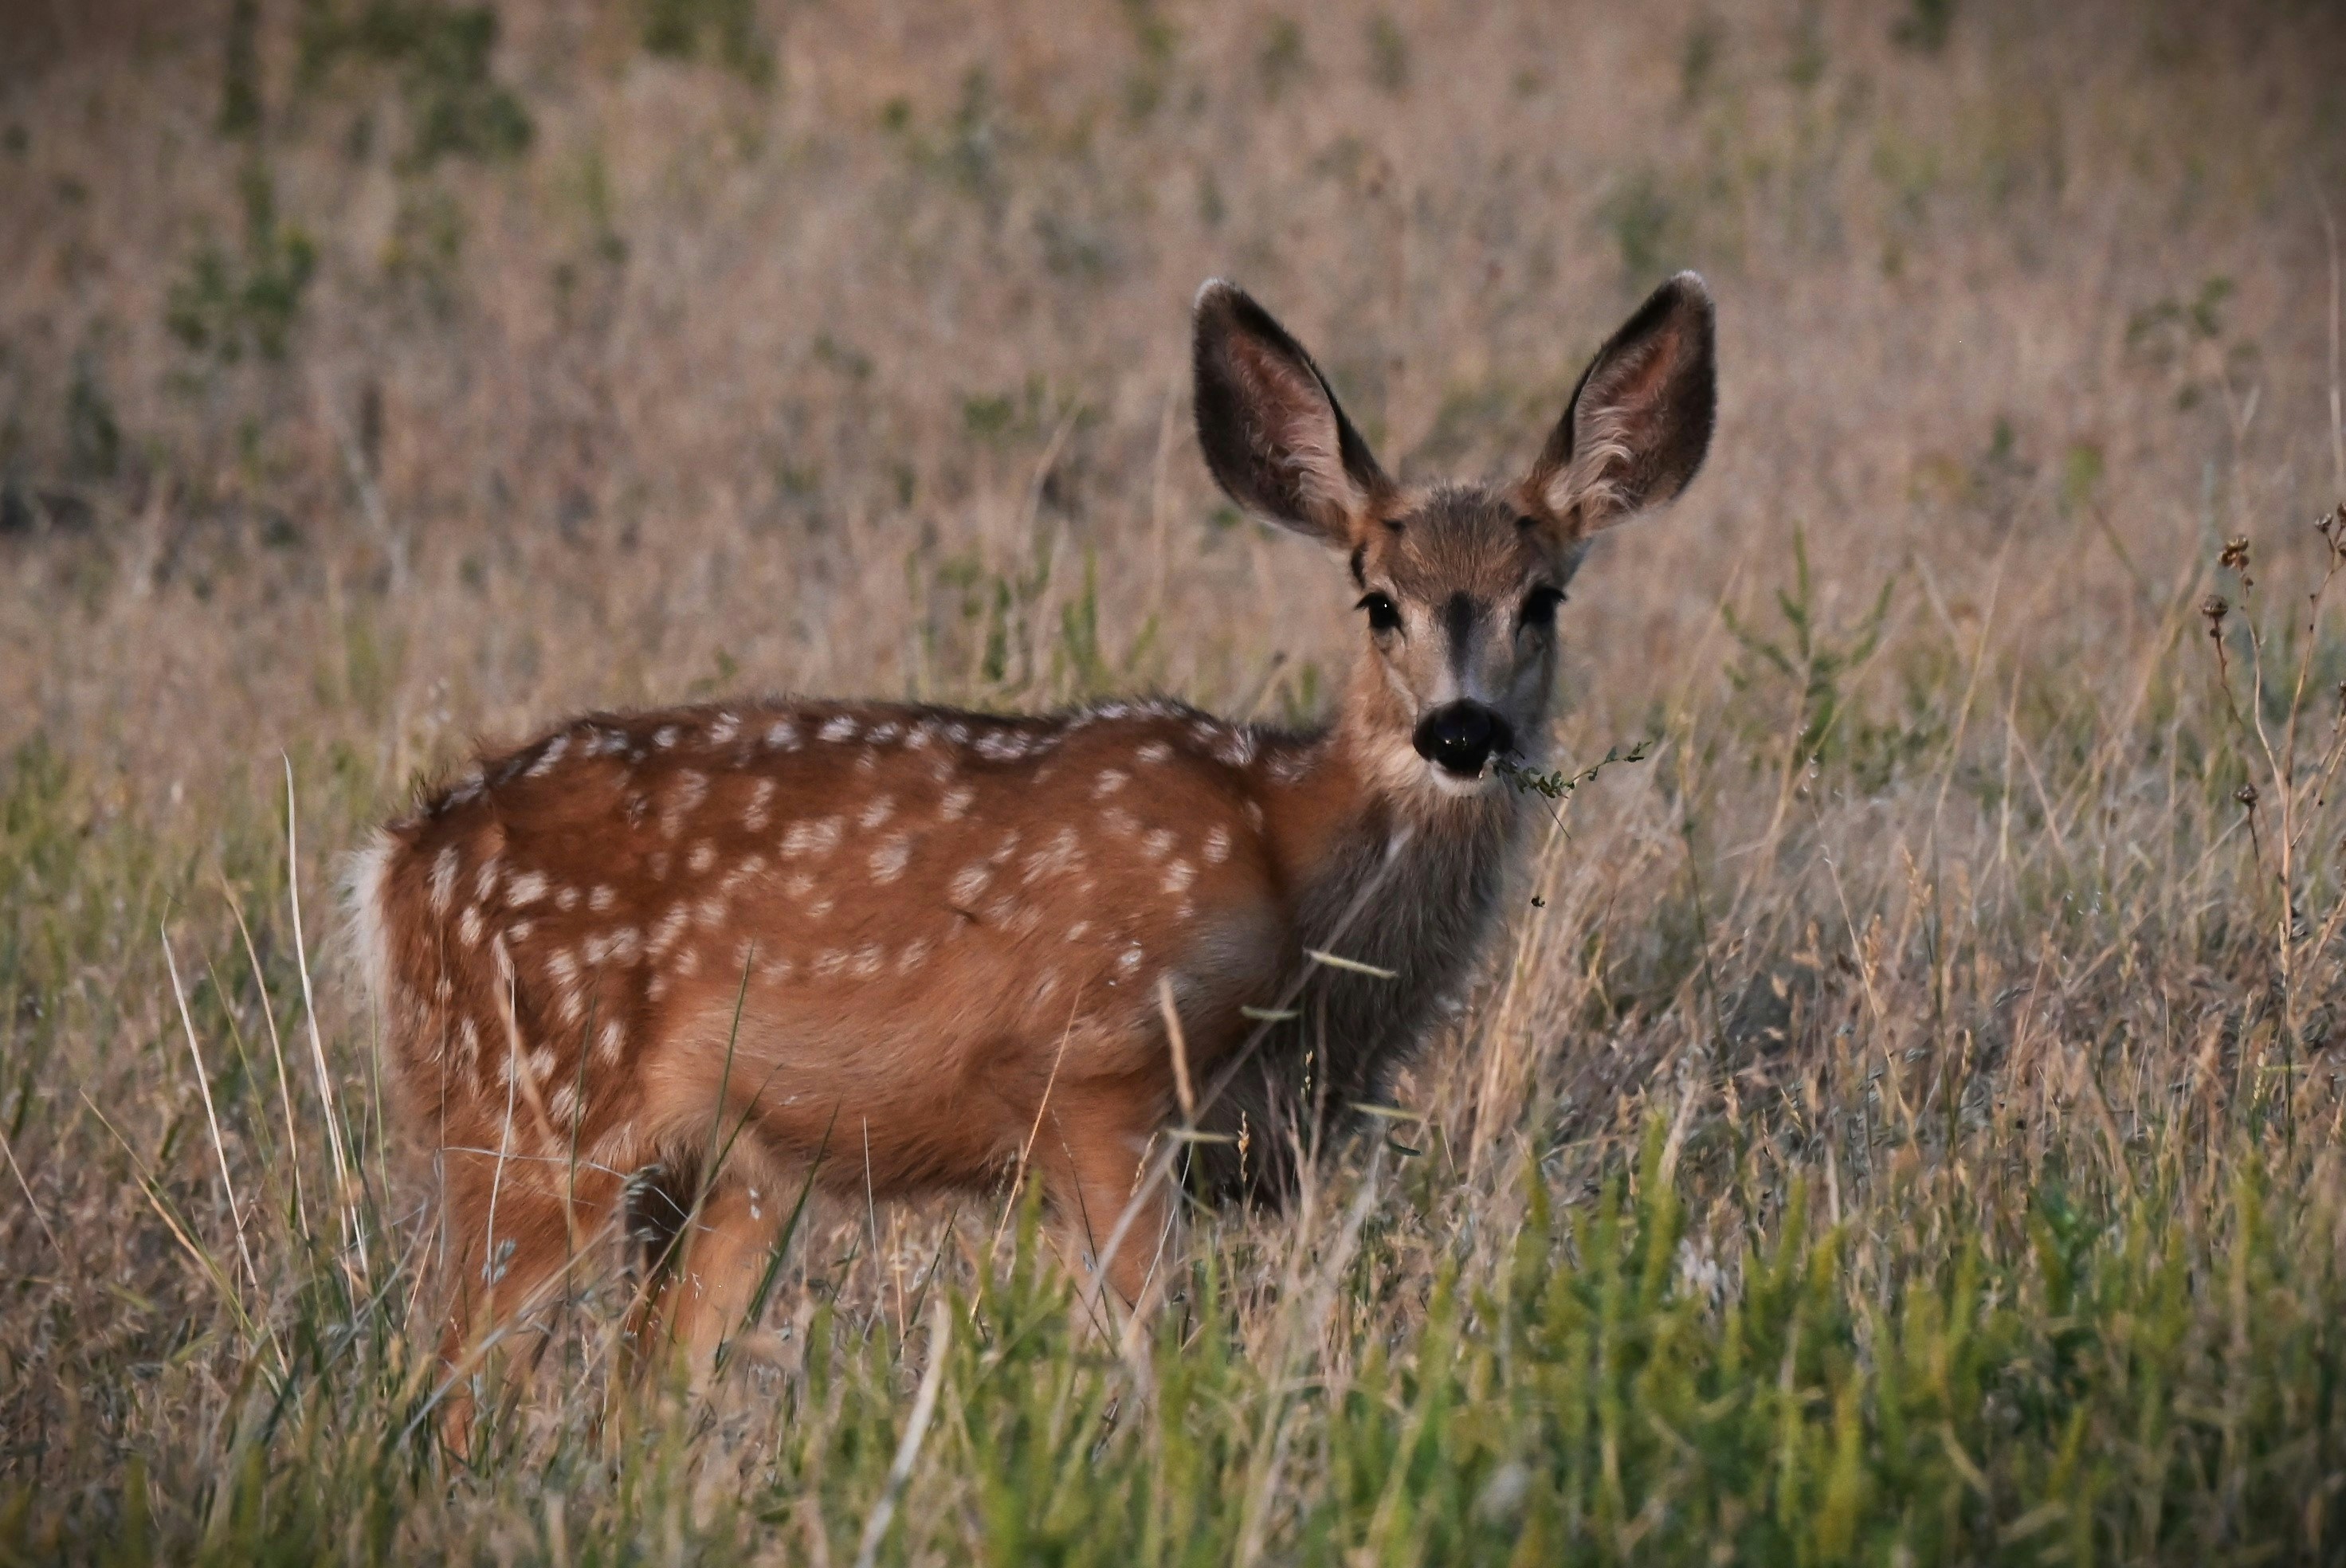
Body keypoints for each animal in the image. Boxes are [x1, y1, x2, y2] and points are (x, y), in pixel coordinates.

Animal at [347, 271, 1716, 1410]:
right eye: (1378, 601)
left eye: (1545, 599)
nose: (1461, 732)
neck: (1294, 886)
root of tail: (398, 863)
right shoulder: (1094, 1071)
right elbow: (1159, 1358)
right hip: (535, 1105)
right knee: (449, 1386)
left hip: (726, 1170)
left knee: (640, 1396)